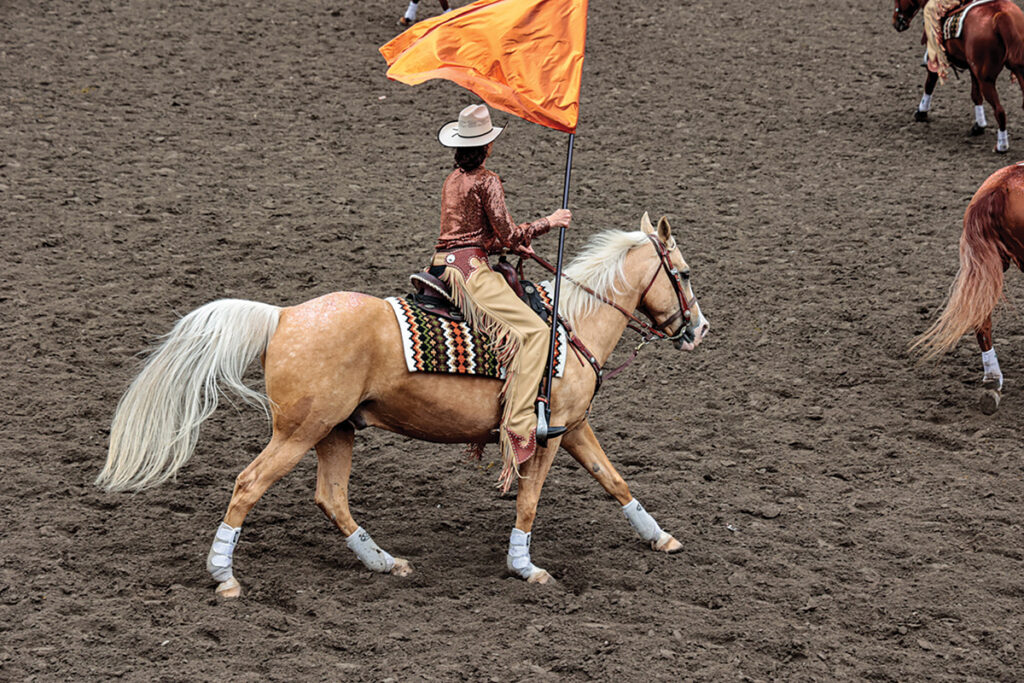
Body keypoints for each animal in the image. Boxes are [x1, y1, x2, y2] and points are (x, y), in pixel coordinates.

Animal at [96, 213, 711, 598]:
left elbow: (614, 480)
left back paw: (384, 562)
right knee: (249, 485)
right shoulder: (546, 434)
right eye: (681, 273)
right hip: (298, 433)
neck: (570, 322)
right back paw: (224, 577)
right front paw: (525, 567)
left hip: (336, 431)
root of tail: (283, 315)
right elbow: (530, 501)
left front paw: (659, 536)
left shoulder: (573, 427)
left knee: (331, 497)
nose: (700, 329)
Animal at [892, 0, 1024, 153]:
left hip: (986, 79)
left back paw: (1001, 146)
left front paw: (921, 112)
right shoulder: (973, 70)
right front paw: (979, 126)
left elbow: (929, 83)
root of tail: (1002, 15)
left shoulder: (935, 57)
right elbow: (976, 96)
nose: (896, 22)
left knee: (1000, 111)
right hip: (1017, 72)